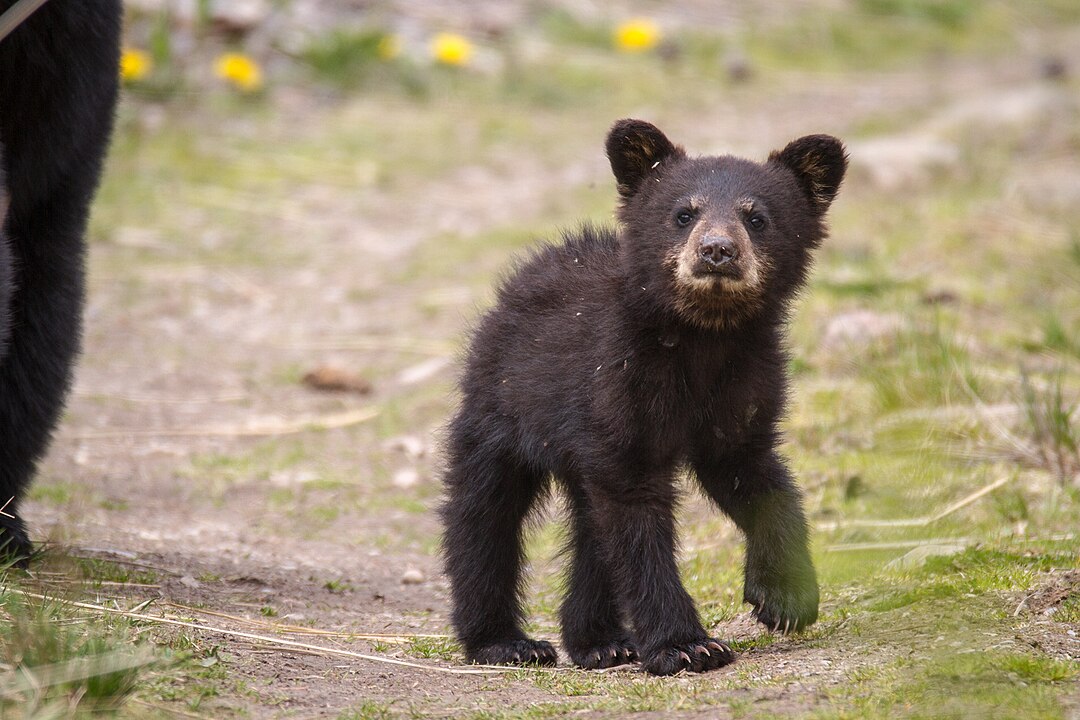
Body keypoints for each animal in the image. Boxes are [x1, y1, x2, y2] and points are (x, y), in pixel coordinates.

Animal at [440, 119, 847, 675]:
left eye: (757, 218)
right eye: (683, 213)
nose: (717, 250)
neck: (701, 338)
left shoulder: (745, 382)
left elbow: (756, 477)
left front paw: (785, 597)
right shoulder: (619, 383)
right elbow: (636, 524)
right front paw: (688, 645)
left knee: (590, 526)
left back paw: (601, 641)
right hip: (503, 408)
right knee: (485, 513)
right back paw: (505, 641)